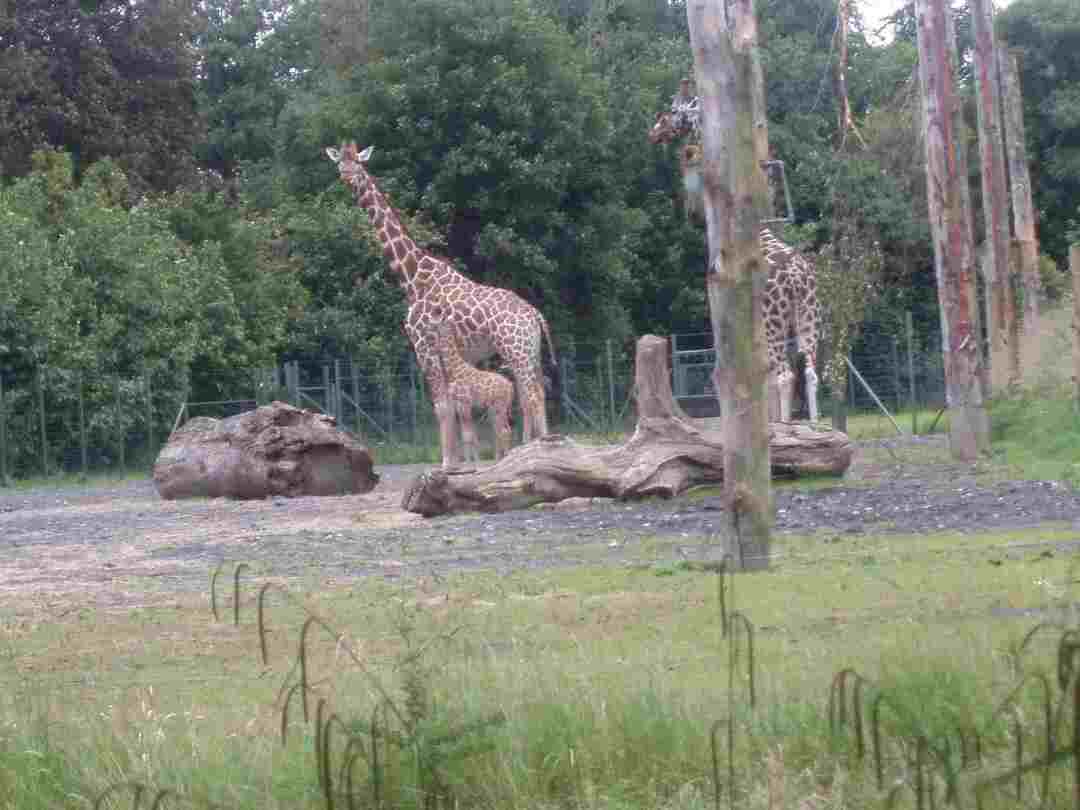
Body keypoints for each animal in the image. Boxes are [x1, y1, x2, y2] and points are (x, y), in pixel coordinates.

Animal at [429, 315, 514, 462]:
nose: (430, 325)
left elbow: (468, 436)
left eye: (439, 323)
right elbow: (466, 435)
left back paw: (505, 457)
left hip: (500, 406)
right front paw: (471, 461)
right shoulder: (459, 404)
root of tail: (510, 386)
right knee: (501, 430)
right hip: (494, 408)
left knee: (504, 430)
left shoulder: (466, 403)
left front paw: (470, 462)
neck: (454, 369)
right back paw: (499, 458)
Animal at [648, 87, 816, 425]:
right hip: (808, 315)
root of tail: (796, 279)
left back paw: (786, 426)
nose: (653, 133)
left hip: (774, 320)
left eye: (670, 112)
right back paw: (817, 427)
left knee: (785, 375)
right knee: (810, 372)